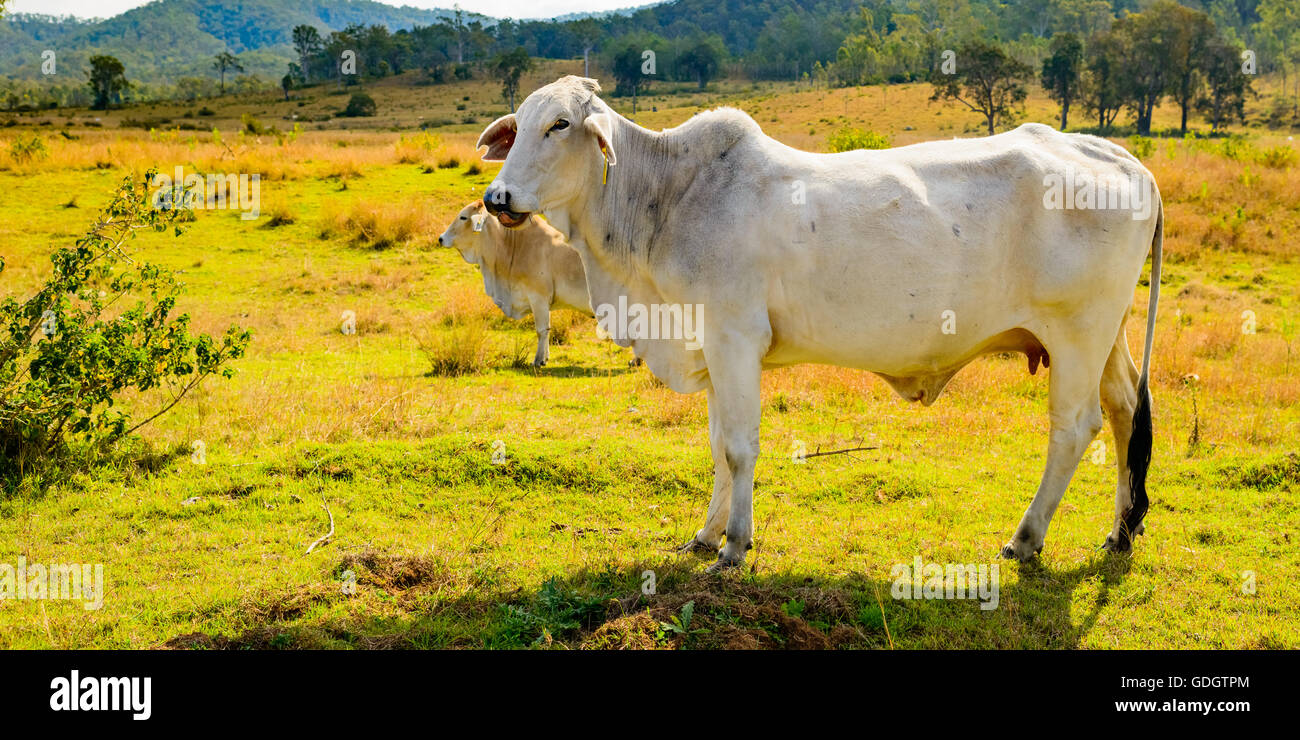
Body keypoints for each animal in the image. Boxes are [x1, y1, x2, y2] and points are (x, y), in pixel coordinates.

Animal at [437, 200, 591, 367]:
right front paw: (546, 357)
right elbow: (547, 329)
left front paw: (539, 360)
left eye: (463, 217)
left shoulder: (538, 298)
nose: (441, 238)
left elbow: (542, 330)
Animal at [476, 76, 1163, 572]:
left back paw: (1026, 537)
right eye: (517, 127)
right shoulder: (710, 346)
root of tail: (1123, 159)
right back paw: (1119, 533)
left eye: (560, 124)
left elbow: (739, 446)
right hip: (1108, 338)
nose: (496, 198)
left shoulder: (734, 338)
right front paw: (705, 534)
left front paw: (734, 545)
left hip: (1077, 334)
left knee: (1074, 428)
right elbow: (718, 447)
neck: (668, 197)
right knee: (1126, 409)